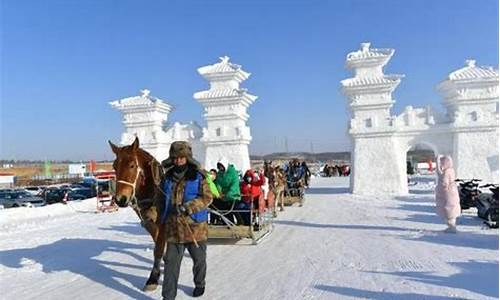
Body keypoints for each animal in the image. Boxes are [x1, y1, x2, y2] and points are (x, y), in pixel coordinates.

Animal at [108, 138, 165, 290]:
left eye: (132, 165)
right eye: (114, 166)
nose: (120, 199)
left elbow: (159, 248)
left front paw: (153, 279)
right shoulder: (148, 222)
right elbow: (158, 245)